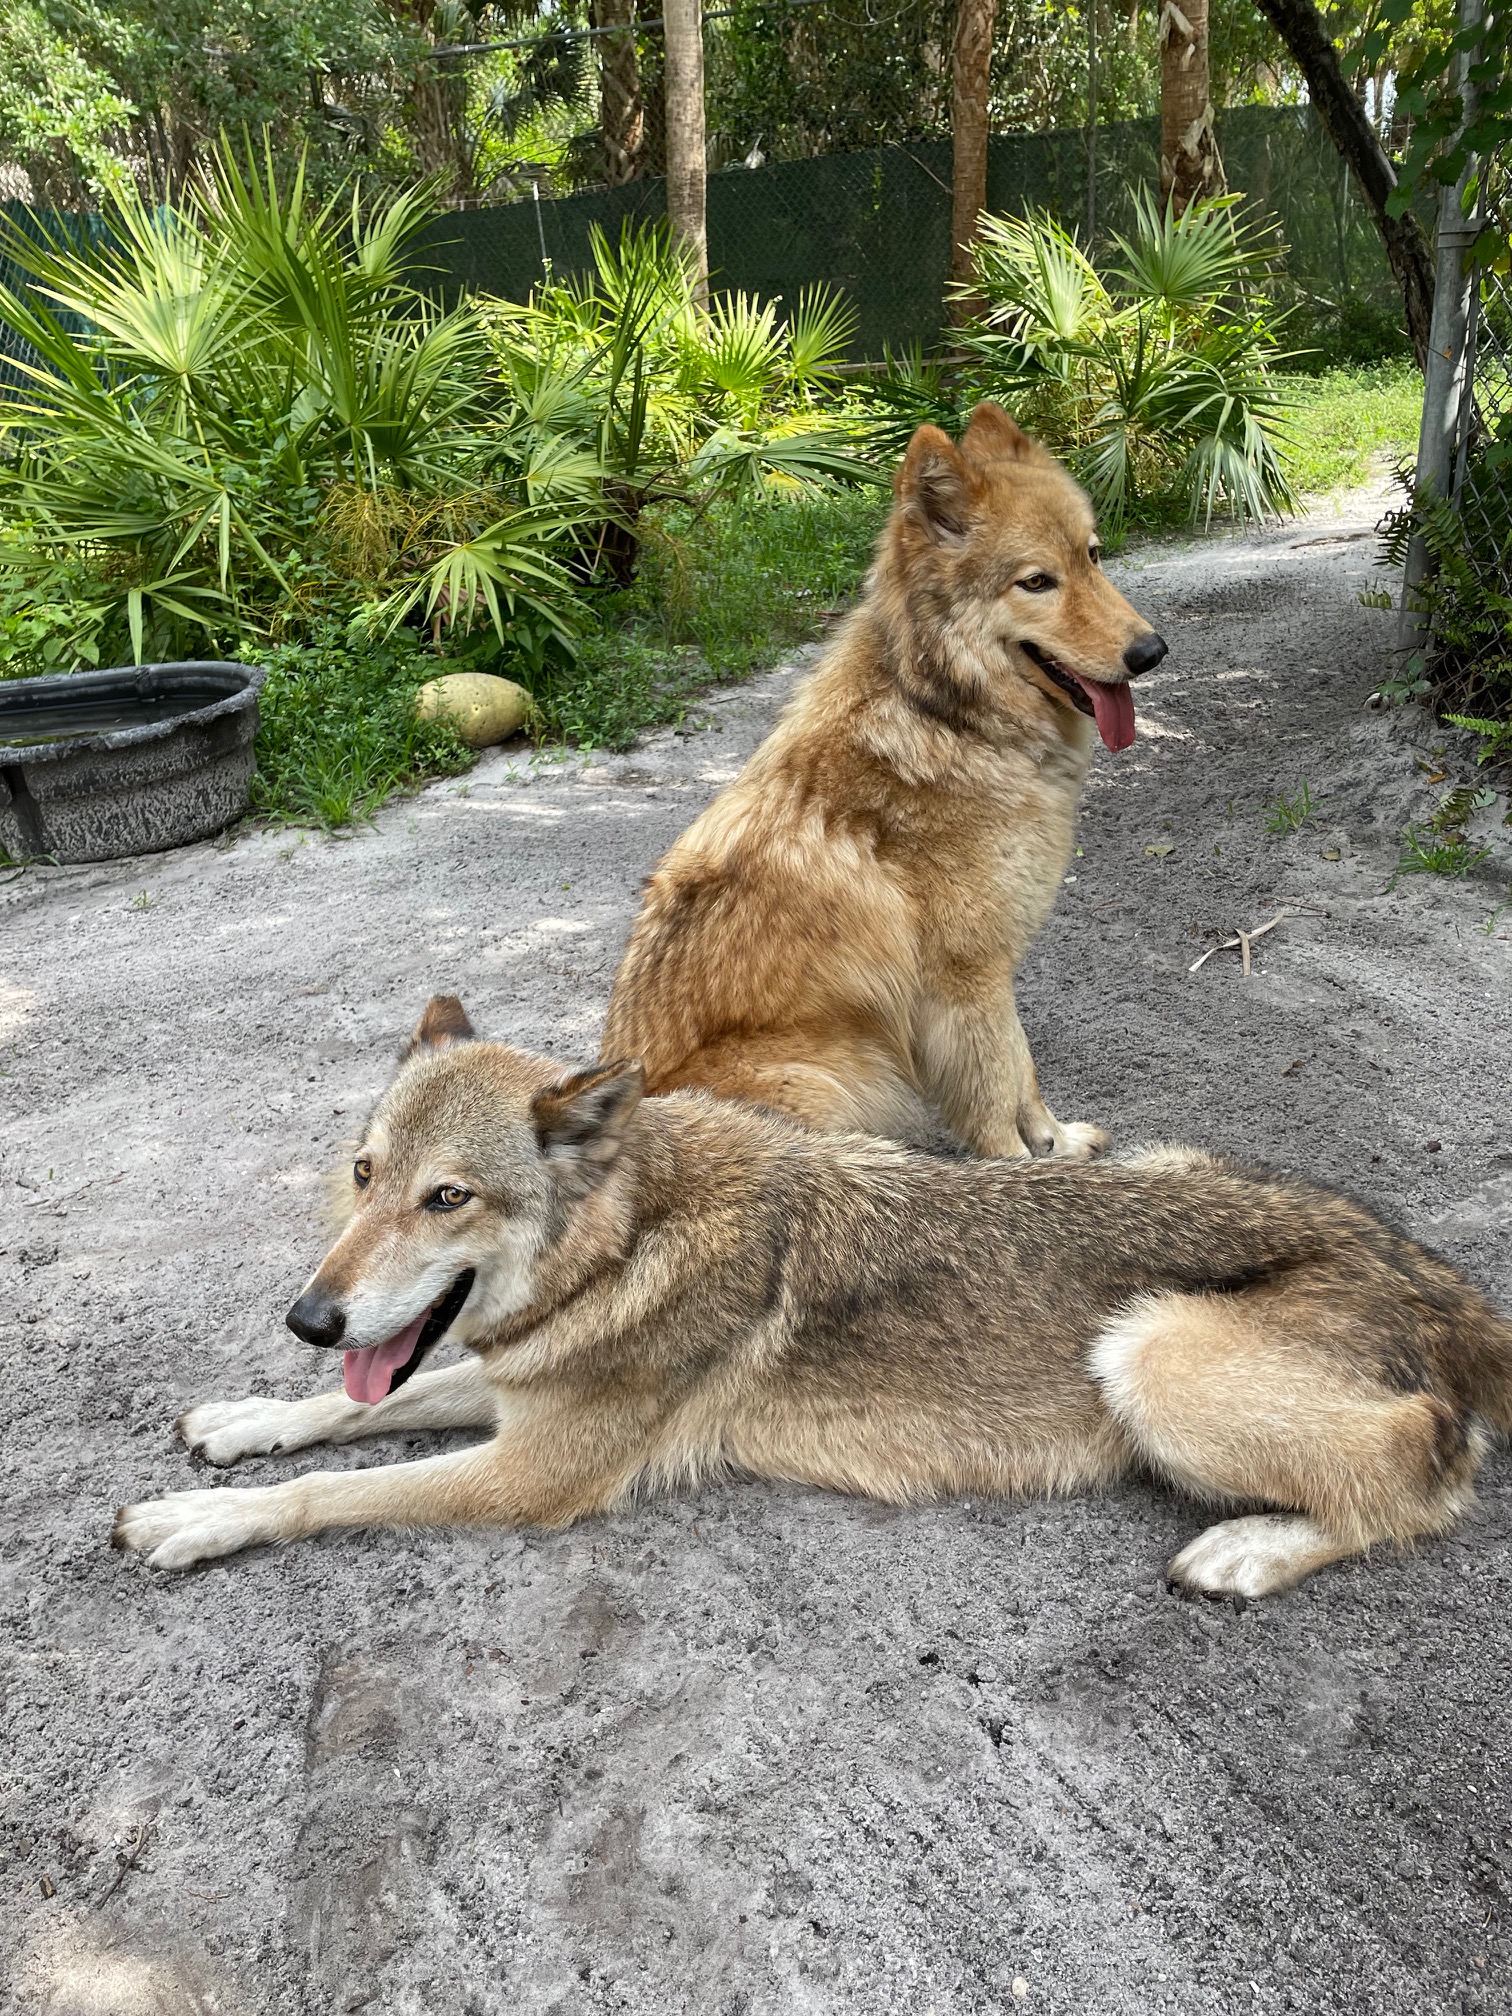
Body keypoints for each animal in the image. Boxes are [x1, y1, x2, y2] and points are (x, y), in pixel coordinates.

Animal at [115, 999, 1512, 1599]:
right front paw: (244, 1422)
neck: (630, 1234)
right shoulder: (515, 1392)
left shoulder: (536, 1476)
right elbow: (348, 1416)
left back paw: (1250, 1551)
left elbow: (327, 1493)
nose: (309, 1319)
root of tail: (1435, 1274)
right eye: (363, 1176)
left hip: (1149, 1352)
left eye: (446, 1198)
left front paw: (196, 1519)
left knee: (1422, 1479)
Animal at [600, 401, 1168, 1158]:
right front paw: (1022, 1167)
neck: (945, 716)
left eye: (1093, 556)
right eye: (1037, 582)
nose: (1151, 651)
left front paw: (1057, 1145)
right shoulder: (964, 981)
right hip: (830, 1079)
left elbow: (1024, 1075)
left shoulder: (992, 974)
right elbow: (998, 1090)